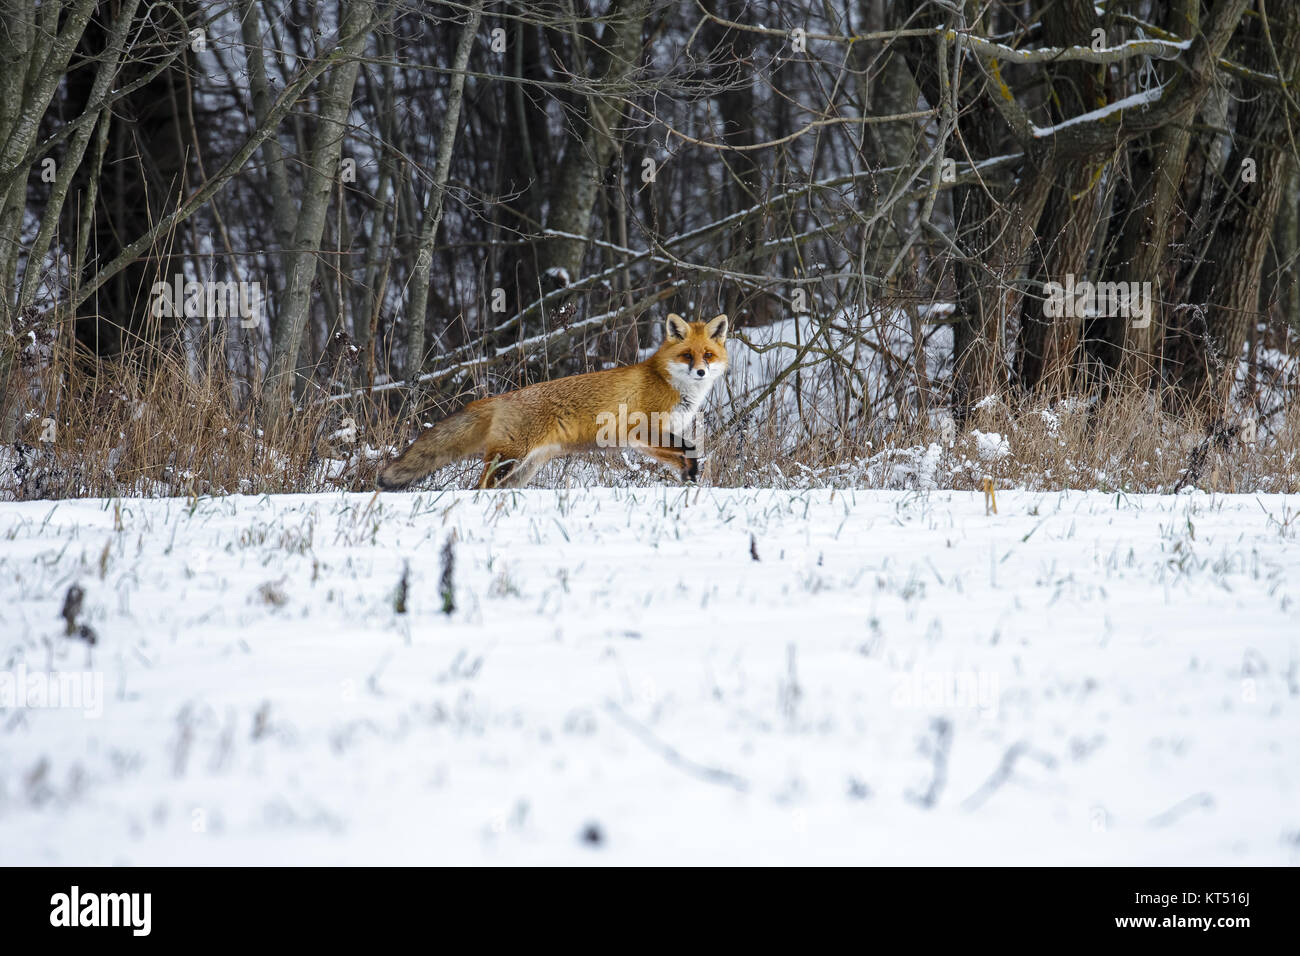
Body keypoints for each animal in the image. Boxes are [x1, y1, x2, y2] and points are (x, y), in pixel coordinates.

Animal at [377, 312, 729, 490]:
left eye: (708, 355)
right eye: (688, 355)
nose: (700, 371)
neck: (668, 382)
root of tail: (501, 397)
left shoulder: (650, 439)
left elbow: (682, 454)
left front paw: (689, 477)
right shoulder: (641, 430)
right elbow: (689, 447)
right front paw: (692, 474)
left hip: (522, 470)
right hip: (508, 461)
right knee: (477, 489)